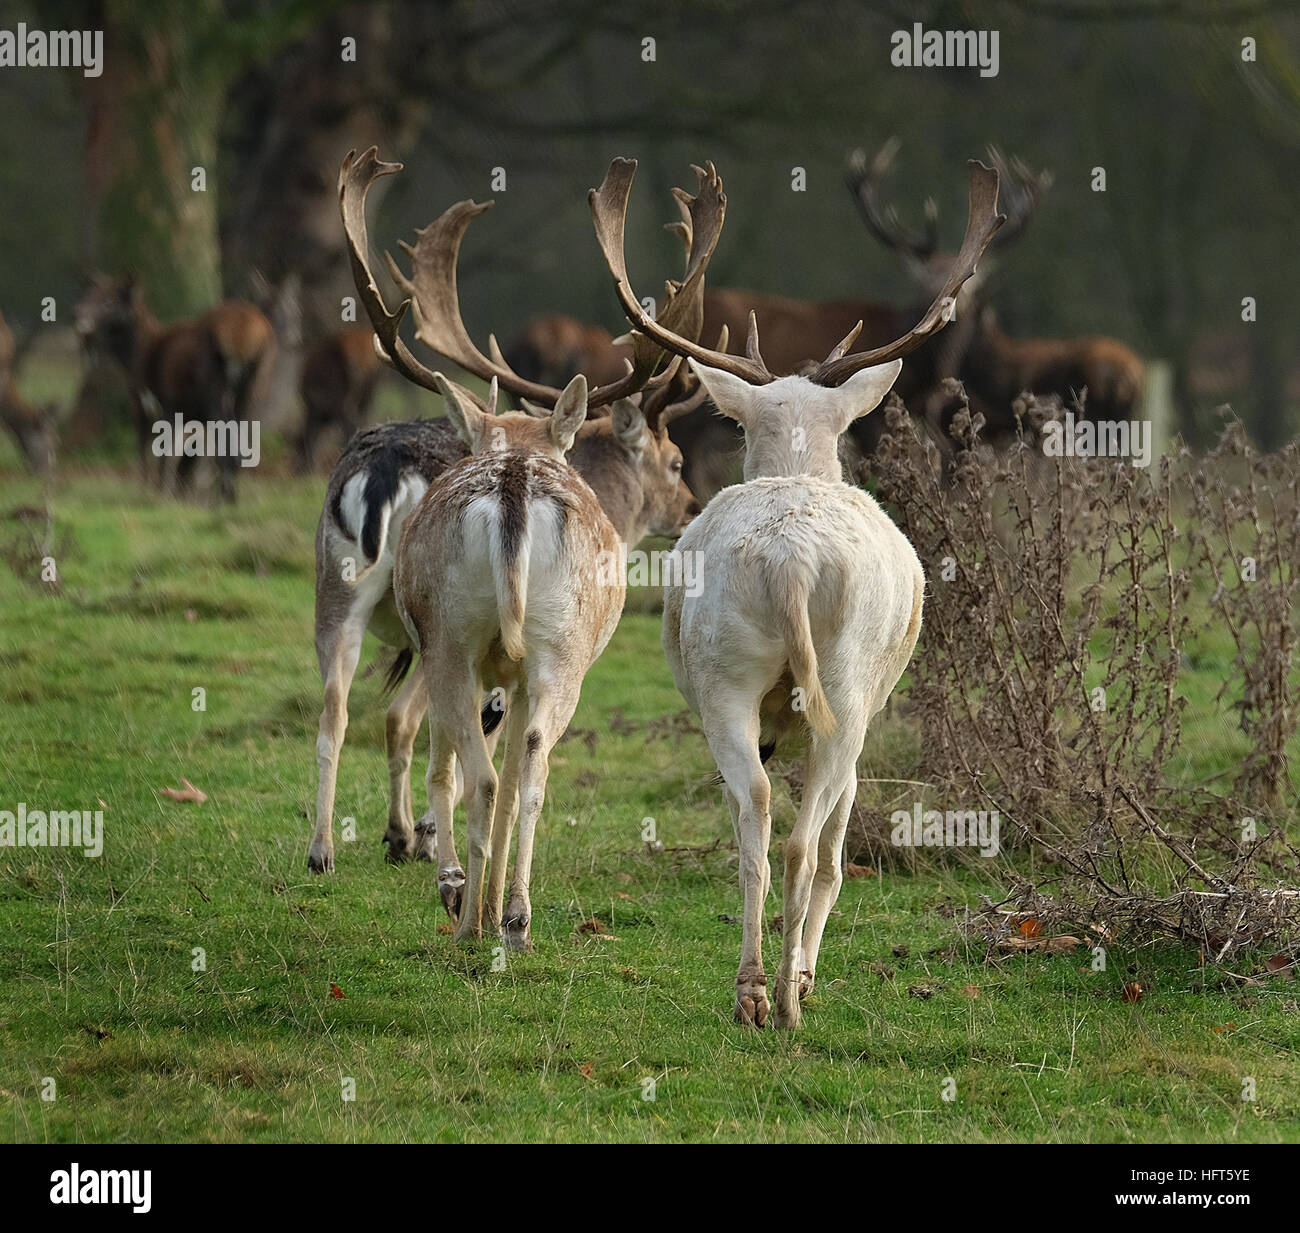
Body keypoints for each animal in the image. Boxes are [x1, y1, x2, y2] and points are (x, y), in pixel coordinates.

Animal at [74, 275, 274, 501]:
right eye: (87, 295)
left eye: (109, 301)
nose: (78, 315)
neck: (138, 359)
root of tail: (247, 332)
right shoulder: (190, 414)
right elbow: (186, 456)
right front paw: (179, 494)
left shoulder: (155, 403)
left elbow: (157, 450)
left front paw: (154, 492)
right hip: (252, 387)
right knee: (238, 442)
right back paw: (227, 496)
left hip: (214, 389)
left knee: (225, 446)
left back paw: (221, 498)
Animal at [306, 147, 711, 883]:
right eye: (674, 462)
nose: (692, 507)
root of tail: (387, 468)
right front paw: (434, 840)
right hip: (452, 630)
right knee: (415, 724)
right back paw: (413, 843)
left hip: (338, 586)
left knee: (338, 709)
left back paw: (327, 848)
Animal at [590, 154, 1005, 1027]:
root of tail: (790, 563)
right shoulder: (870, 707)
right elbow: (841, 850)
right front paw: (809, 971)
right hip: (844, 682)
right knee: (803, 839)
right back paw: (786, 993)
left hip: (726, 675)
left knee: (754, 812)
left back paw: (752, 989)